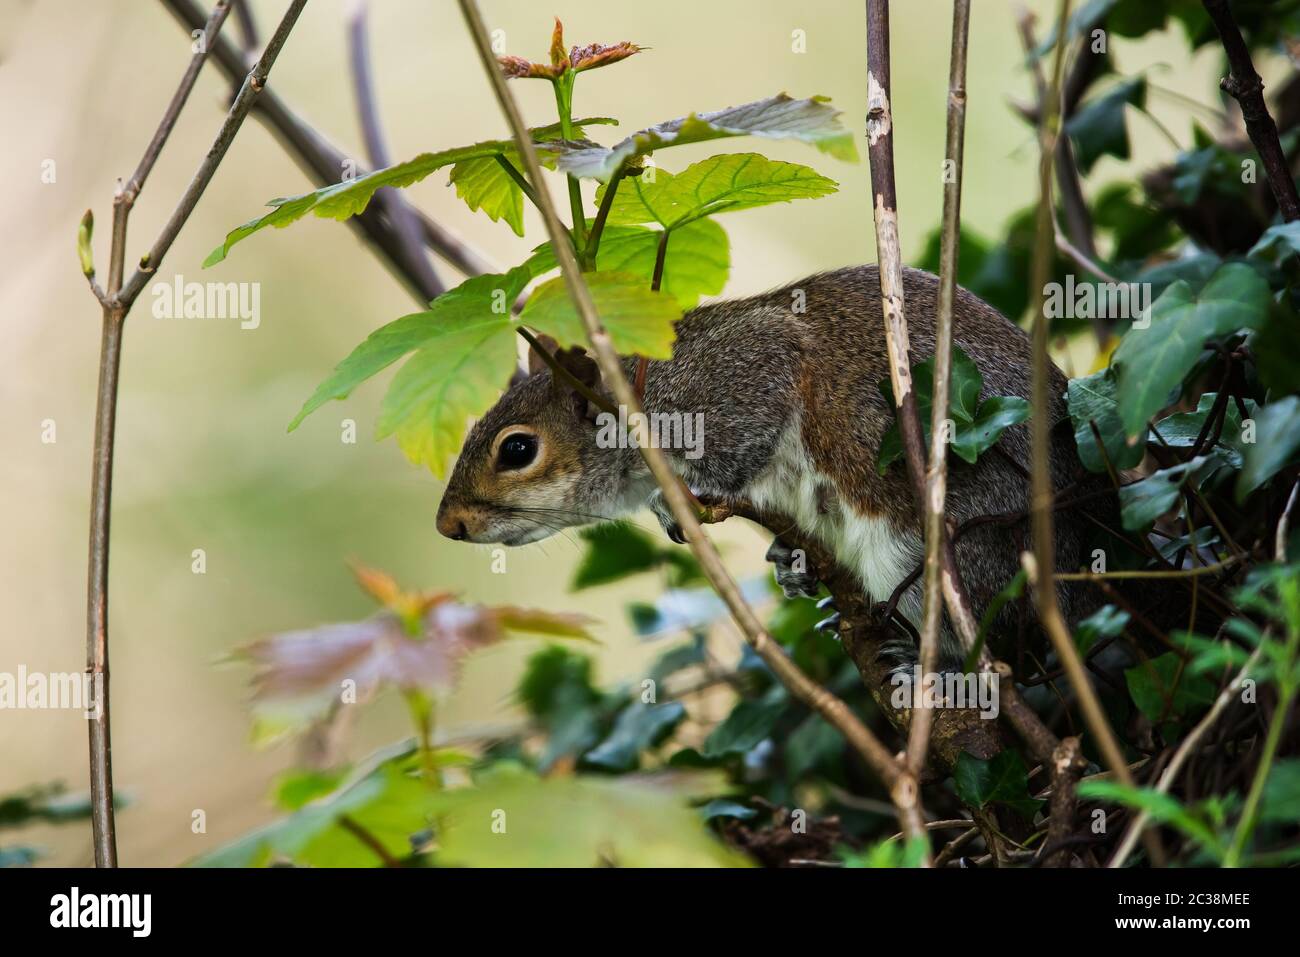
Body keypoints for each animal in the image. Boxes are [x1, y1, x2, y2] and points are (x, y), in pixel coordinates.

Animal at [436, 265, 1112, 668]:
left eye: (517, 450)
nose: (449, 525)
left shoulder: (737, 373)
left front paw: (686, 494)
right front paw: (789, 562)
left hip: (948, 552)